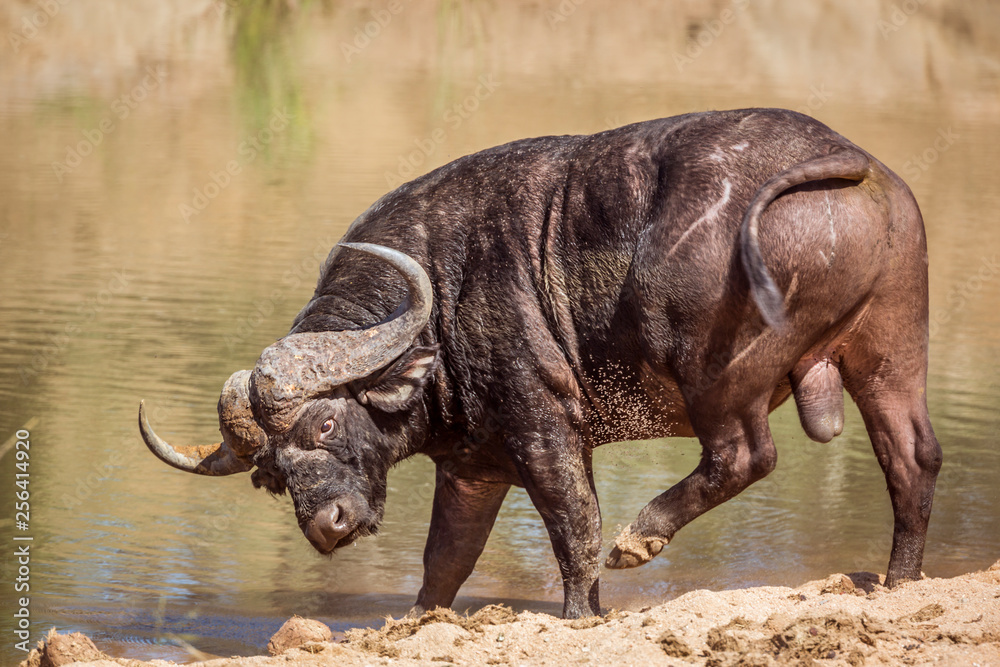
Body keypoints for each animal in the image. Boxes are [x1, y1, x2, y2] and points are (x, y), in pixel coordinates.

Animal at [140, 108, 941, 619]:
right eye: (271, 476)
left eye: (327, 424)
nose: (328, 526)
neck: (442, 302)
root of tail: (843, 157)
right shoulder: (473, 469)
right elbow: (446, 559)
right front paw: (418, 619)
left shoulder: (546, 432)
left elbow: (574, 526)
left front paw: (580, 613)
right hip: (888, 356)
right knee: (912, 457)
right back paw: (898, 584)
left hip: (718, 373)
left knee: (745, 453)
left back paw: (641, 535)